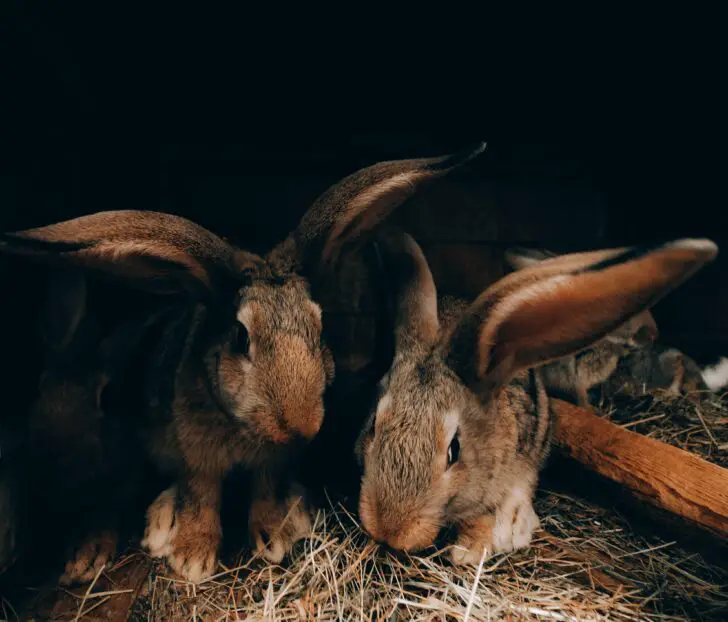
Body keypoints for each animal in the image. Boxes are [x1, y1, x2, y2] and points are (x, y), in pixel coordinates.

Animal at [0, 142, 487, 583]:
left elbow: (264, 491)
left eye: (319, 327)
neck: (243, 429)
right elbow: (201, 495)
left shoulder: (270, 464)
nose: (301, 426)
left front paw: (272, 537)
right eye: (240, 336)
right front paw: (192, 558)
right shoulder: (195, 456)